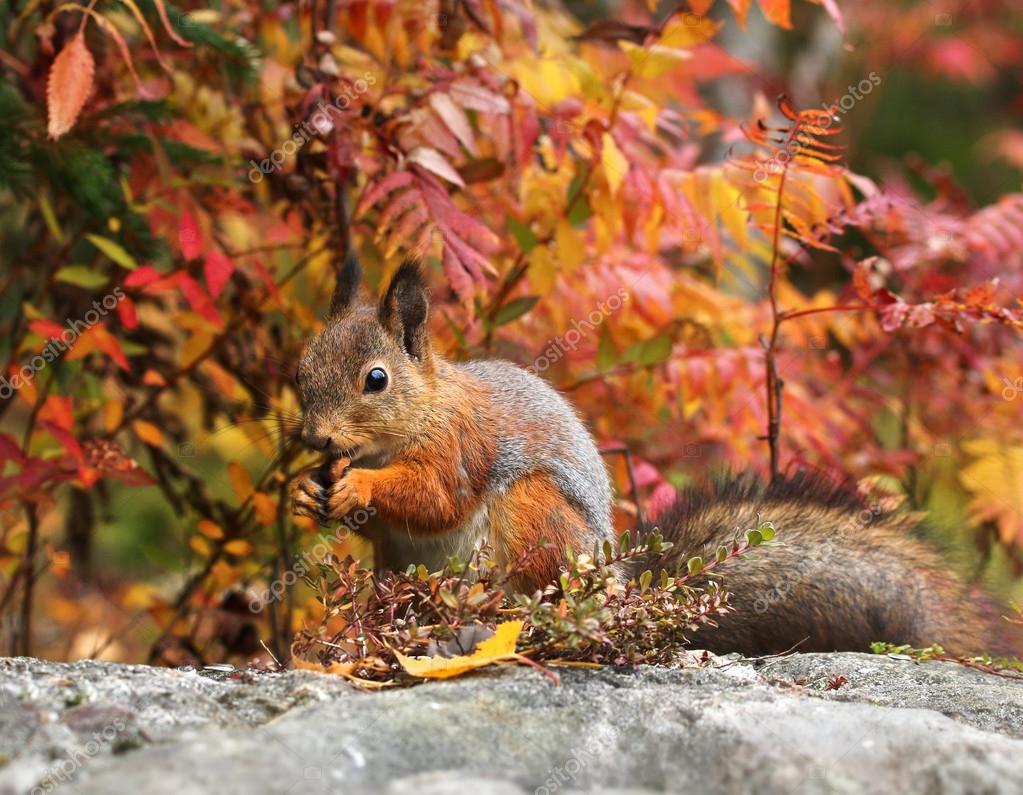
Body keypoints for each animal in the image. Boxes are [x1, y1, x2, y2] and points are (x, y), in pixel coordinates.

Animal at [292, 254, 1019, 658]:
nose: (316, 438)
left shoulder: (461, 444)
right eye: (300, 368)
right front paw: (308, 493)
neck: (419, 413)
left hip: (534, 513)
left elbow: (435, 495)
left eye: (376, 379)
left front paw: (357, 488)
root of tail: (612, 587)